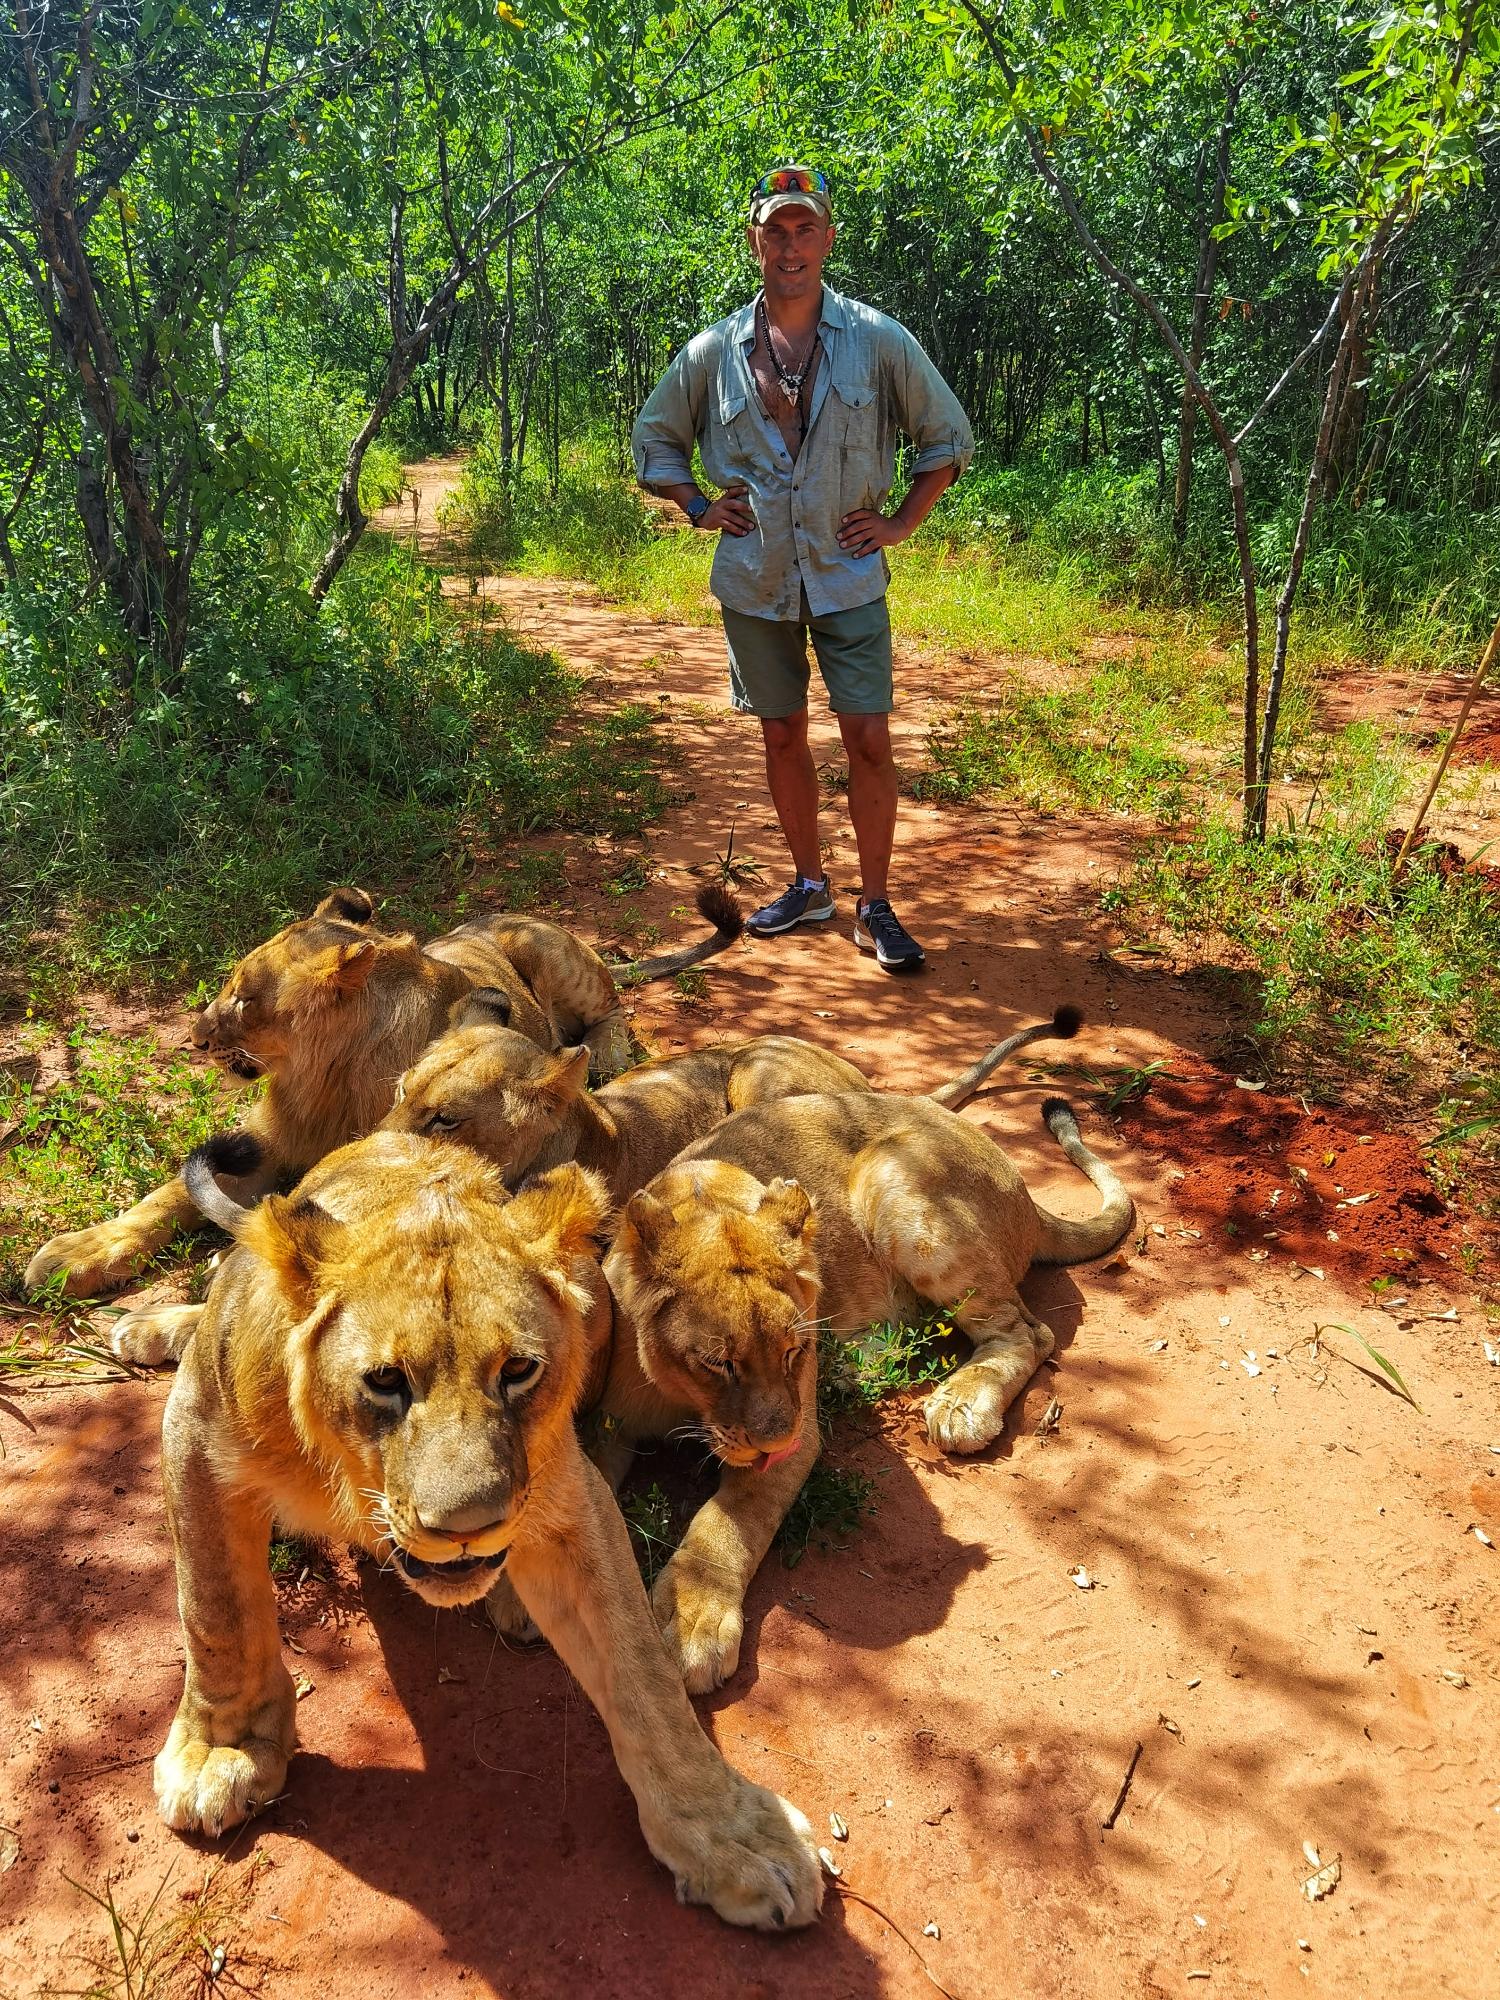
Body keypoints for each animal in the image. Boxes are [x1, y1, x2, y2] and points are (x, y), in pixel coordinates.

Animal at [26, 884, 744, 1320]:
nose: (195, 1038)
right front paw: (77, 1255)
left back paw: (609, 1054)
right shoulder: (265, 1143)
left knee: (612, 1010)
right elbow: (165, 1197)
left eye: (243, 999)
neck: (324, 1073)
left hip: (555, 959)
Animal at [156, 1128, 824, 1920]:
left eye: (518, 1370)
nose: (467, 1525)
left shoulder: (566, 1500)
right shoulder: (196, 1428)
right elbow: (215, 1613)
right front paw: (223, 1752)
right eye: (385, 1380)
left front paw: (730, 1835)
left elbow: (644, 1678)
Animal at [604, 1096, 1136, 1688]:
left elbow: (731, 1515)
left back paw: (960, 1405)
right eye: (718, 1362)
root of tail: (1021, 1186)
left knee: (1028, 1331)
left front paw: (690, 1620)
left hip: (897, 1182)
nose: (775, 1441)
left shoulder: (799, 1434)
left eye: (793, 1351)